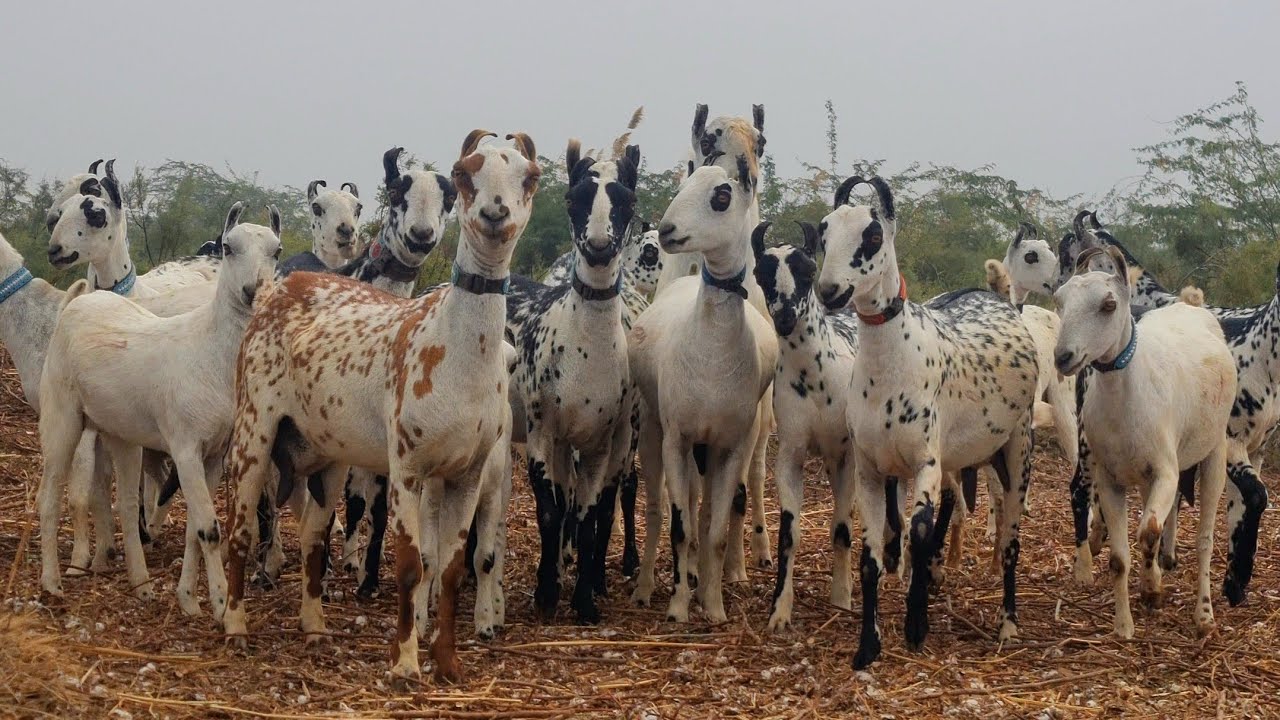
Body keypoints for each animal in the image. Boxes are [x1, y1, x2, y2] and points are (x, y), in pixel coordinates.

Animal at [38, 202, 280, 618]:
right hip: (62, 415)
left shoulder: (214, 453)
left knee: (126, 502)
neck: (210, 351)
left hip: (118, 431)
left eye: (277, 252)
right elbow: (209, 529)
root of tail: (79, 301)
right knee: (49, 495)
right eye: (228, 247)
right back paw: (52, 582)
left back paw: (141, 584)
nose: (253, 291)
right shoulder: (185, 447)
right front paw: (220, 603)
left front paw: (188, 599)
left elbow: (195, 529)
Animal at [220, 130, 539, 684]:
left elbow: (451, 570)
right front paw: (405, 662)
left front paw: (447, 661)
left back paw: (314, 625)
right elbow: (411, 567)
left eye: (530, 176)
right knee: (240, 531)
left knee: (313, 539)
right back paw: (236, 624)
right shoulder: (407, 470)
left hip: (327, 457)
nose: (495, 213)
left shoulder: (467, 475)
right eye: (465, 173)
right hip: (253, 436)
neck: (456, 349)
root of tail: (283, 286)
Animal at [815, 176, 1038, 669]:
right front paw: (868, 645)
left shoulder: (925, 464)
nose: (828, 289)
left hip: (1017, 450)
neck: (892, 366)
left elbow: (917, 532)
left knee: (1010, 543)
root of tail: (996, 297)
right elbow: (871, 556)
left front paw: (916, 626)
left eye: (872, 236)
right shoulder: (870, 471)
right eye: (823, 232)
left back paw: (1008, 623)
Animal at [1054, 245, 1232, 638]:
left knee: (1205, 541)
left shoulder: (1165, 471)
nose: (1063, 357)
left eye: (1108, 304)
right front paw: (1124, 625)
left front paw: (1152, 590)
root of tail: (1190, 305)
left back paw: (1204, 614)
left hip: (1215, 450)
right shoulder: (1111, 479)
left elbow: (1148, 532)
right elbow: (1121, 558)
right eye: (1059, 300)